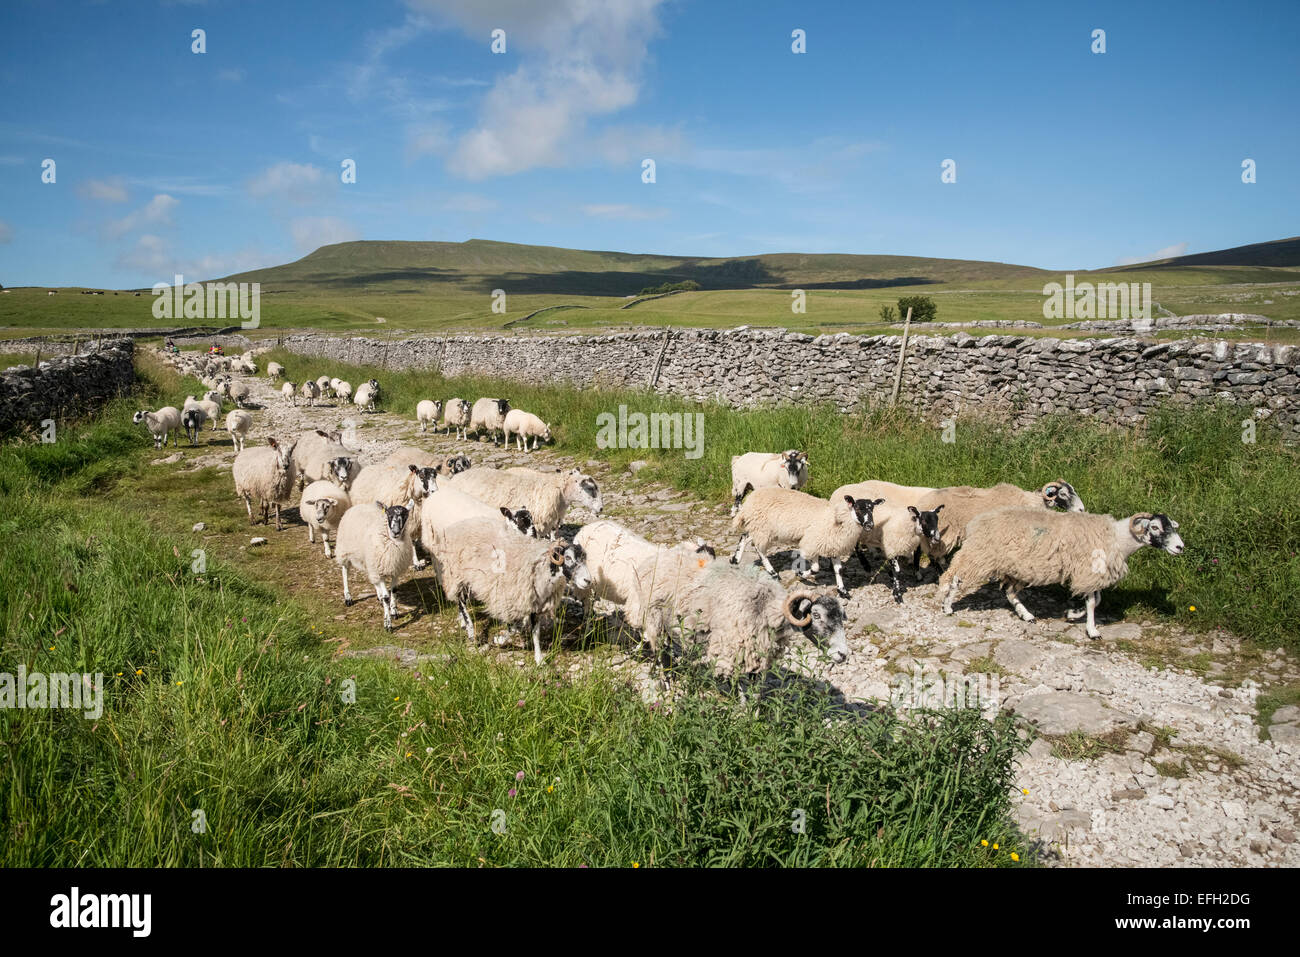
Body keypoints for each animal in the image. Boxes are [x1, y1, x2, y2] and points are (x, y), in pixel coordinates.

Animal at [334, 499, 416, 630]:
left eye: (405, 516)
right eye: (389, 515)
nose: (396, 532)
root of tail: (359, 505)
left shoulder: (395, 569)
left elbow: (394, 591)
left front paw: (394, 611)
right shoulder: (380, 571)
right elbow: (386, 597)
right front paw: (387, 623)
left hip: (368, 561)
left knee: (372, 579)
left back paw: (378, 595)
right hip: (344, 550)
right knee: (345, 571)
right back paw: (348, 597)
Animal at [427, 518, 590, 664]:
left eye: (584, 558)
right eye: (568, 558)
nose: (587, 580)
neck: (540, 570)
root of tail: (456, 526)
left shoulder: (535, 604)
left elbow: (535, 632)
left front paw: (539, 659)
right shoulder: (509, 601)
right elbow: (514, 629)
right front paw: (498, 640)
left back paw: (462, 621)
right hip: (457, 577)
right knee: (461, 603)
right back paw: (471, 632)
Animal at [675, 559, 849, 679]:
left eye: (841, 616)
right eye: (816, 614)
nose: (843, 654)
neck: (765, 609)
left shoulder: (759, 655)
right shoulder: (735, 652)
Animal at [730, 488, 881, 598]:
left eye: (872, 509)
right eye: (858, 508)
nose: (870, 525)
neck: (837, 520)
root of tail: (750, 499)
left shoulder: (833, 544)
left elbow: (838, 569)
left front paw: (842, 591)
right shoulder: (812, 543)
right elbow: (815, 568)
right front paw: (801, 574)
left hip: (761, 528)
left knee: (745, 537)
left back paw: (735, 559)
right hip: (762, 528)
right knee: (759, 548)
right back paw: (773, 573)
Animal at [939, 509, 1184, 639]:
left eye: (1172, 526)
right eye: (1155, 527)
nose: (1180, 547)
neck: (1119, 539)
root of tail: (977, 522)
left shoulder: (1089, 574)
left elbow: (1096, 599)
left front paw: (1073, 614)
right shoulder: (1088, 571)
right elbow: (1093, 602)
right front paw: (1092, 630)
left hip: (1014, 567)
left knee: (1009, 592)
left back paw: (1026, 615)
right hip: (980, 555)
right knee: (955, 577)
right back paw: (947, 606)